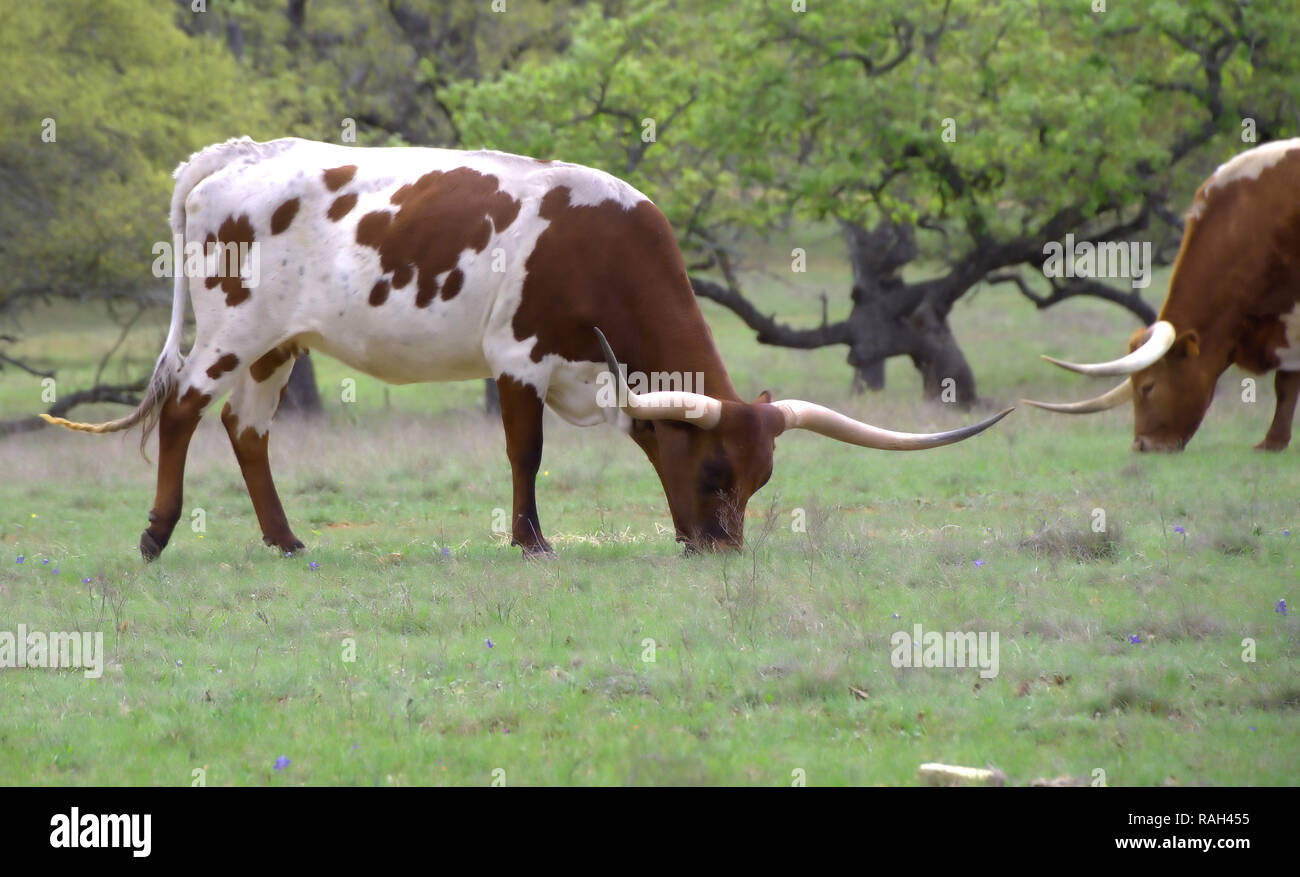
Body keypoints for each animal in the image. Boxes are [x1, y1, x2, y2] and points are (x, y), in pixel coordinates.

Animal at [42, 137, 1011, 559]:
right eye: (711, 472)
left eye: (759, 478)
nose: (721, 548)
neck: (603, 250)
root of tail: (236, 156)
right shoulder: (517, 359)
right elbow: (526, 452)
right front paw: (531, 540)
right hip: (231, 331)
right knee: (182, 409)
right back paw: (157, 535)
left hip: (279, 345)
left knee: (246, 431)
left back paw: (285, 540)